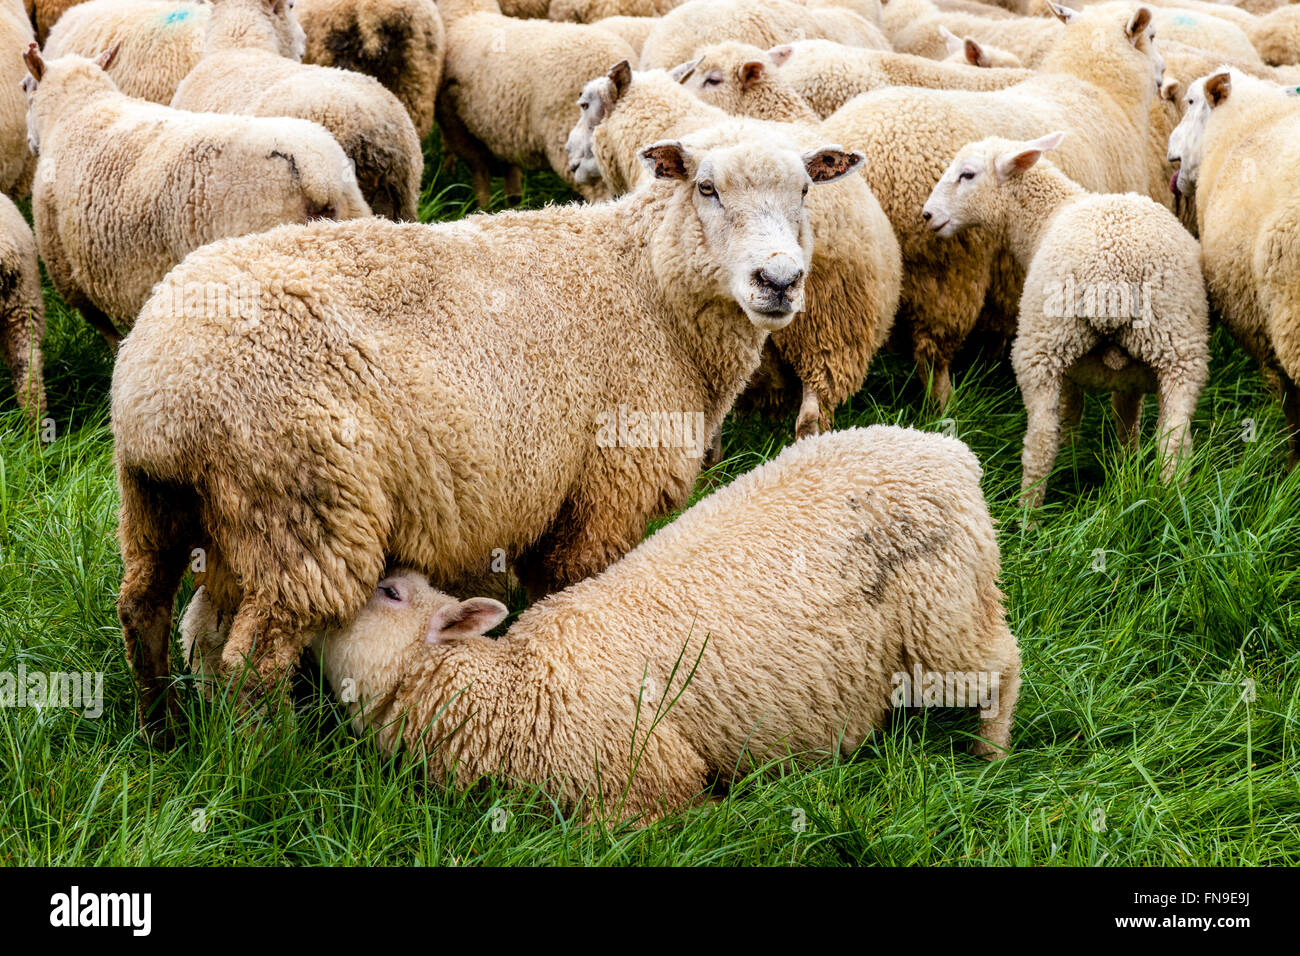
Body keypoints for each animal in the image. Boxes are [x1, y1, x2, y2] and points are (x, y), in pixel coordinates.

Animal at [25, 46, 370, 346]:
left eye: (26, 87)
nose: (29, 142)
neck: (79, 107)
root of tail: (316, 173)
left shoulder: (70, 277)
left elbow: (109, 335)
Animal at [112, 122, 867, 738]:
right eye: (706, 188)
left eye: (806, 190)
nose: (778, 280)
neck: (647, 286)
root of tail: (156, 386)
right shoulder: (605, 491)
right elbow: (576, 590)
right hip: (303, 511)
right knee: (252, 658)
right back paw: (265, 758)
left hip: (169, 506)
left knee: (148, 611)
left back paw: (162, 731)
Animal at [181, 425, 1021, 819]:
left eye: (389, 591)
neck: (515, 693)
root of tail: (950, 451)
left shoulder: (656, 775)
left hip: (947, 616)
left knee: (1006, 663)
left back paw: (990, 753)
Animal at [436, 0, 635, 205]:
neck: (466, 14)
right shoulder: (502, 130)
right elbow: (509, 170)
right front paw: (514, 202)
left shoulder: (456, 125)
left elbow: (479, 173)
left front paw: (483, 207)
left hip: (569, 141)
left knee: (598, 194)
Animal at [923, 132, 1209, 505]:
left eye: (967, 174)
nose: (927, 214)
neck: (1045, 217)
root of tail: (1112, 278)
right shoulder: (1129, 377)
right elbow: (1126, 418)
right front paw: (1126, 464)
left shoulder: (1069, 368)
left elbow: (1072, 414)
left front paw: (1073, 455)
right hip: (1179, 346)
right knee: (1174, 441)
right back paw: (1171, 499)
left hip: (1043, 344)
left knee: (1042, 440)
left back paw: (1028, 510)